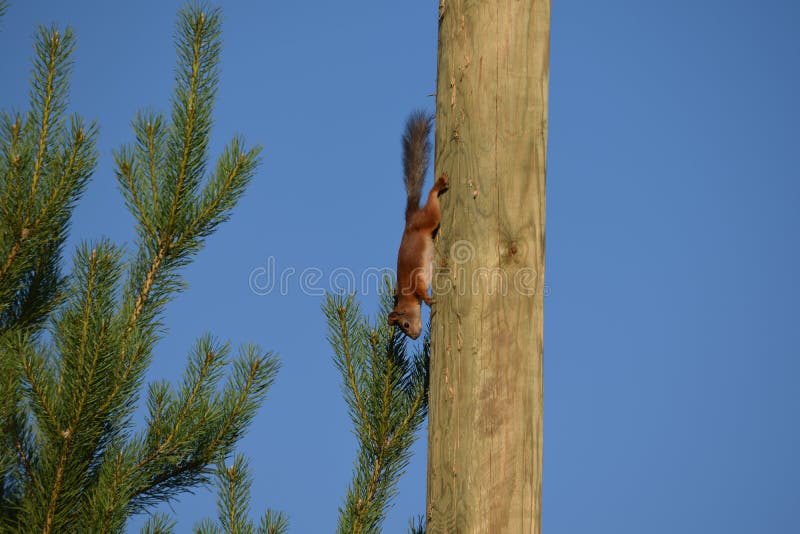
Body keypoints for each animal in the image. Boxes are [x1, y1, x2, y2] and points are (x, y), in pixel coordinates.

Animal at [388, 111, 449, 339]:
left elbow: (422, 290)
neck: (405, 295)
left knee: (432, 201)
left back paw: (438, 185)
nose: (414, 336)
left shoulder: (415, 282)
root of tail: (410, 219)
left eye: (405, 325)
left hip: (429, 218)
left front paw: (429, 300)